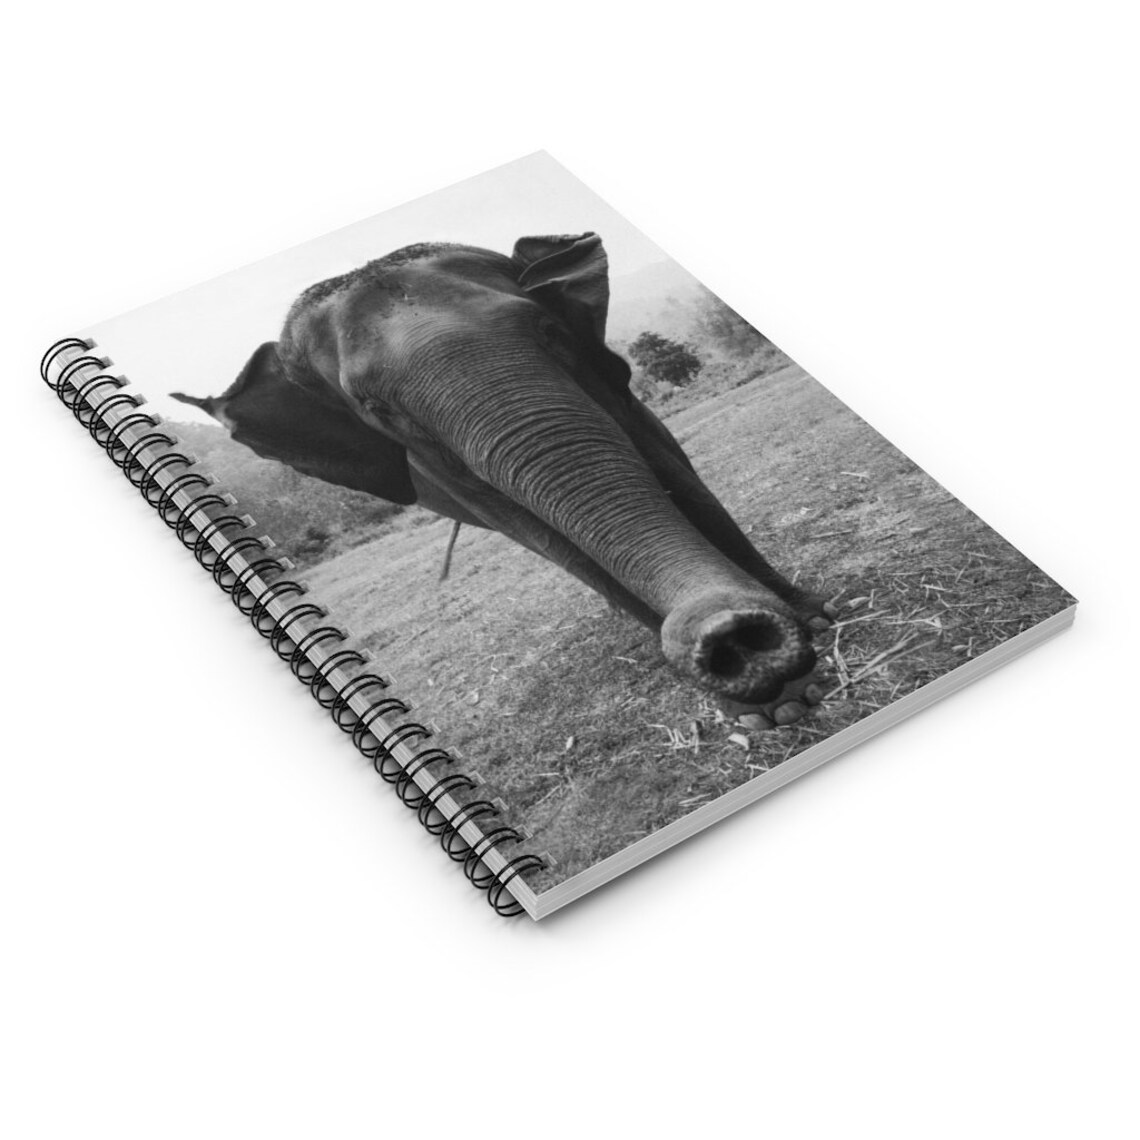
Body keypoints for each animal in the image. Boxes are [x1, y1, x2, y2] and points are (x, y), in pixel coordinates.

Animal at [172, 232, 836, 727]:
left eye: (547, 330)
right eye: (377, 409)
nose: (729, 635)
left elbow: (671, 465)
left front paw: (812, 623)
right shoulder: (441, 472)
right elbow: (545, 536)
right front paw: (761, 708)